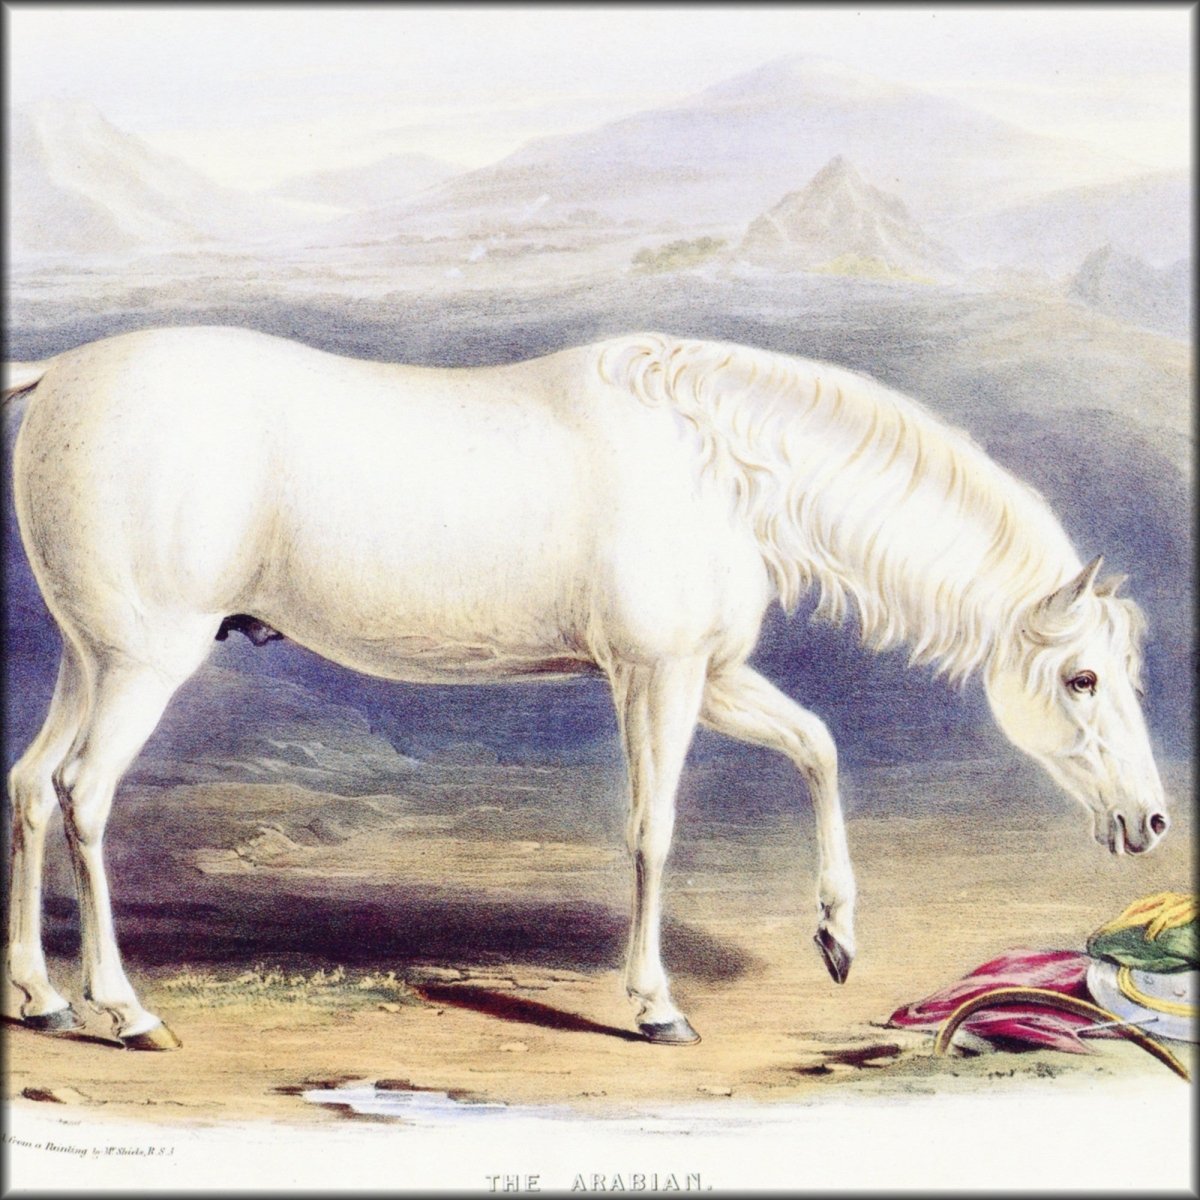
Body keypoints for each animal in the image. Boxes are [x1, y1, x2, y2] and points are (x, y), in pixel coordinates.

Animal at [3, 327, 1168, 1050]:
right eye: (1081, 677)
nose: (1151, 821)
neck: (719, 466)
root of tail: (59, 376)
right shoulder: (657, 676)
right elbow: (653, 829)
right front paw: (654, 1006)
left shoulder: (714, 673)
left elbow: (820, 747)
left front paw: (837, 936)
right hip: (144, 665)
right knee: (83, 799)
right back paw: (123, 1010)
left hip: (89, 660)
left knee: (26, 790)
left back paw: (40, 998)